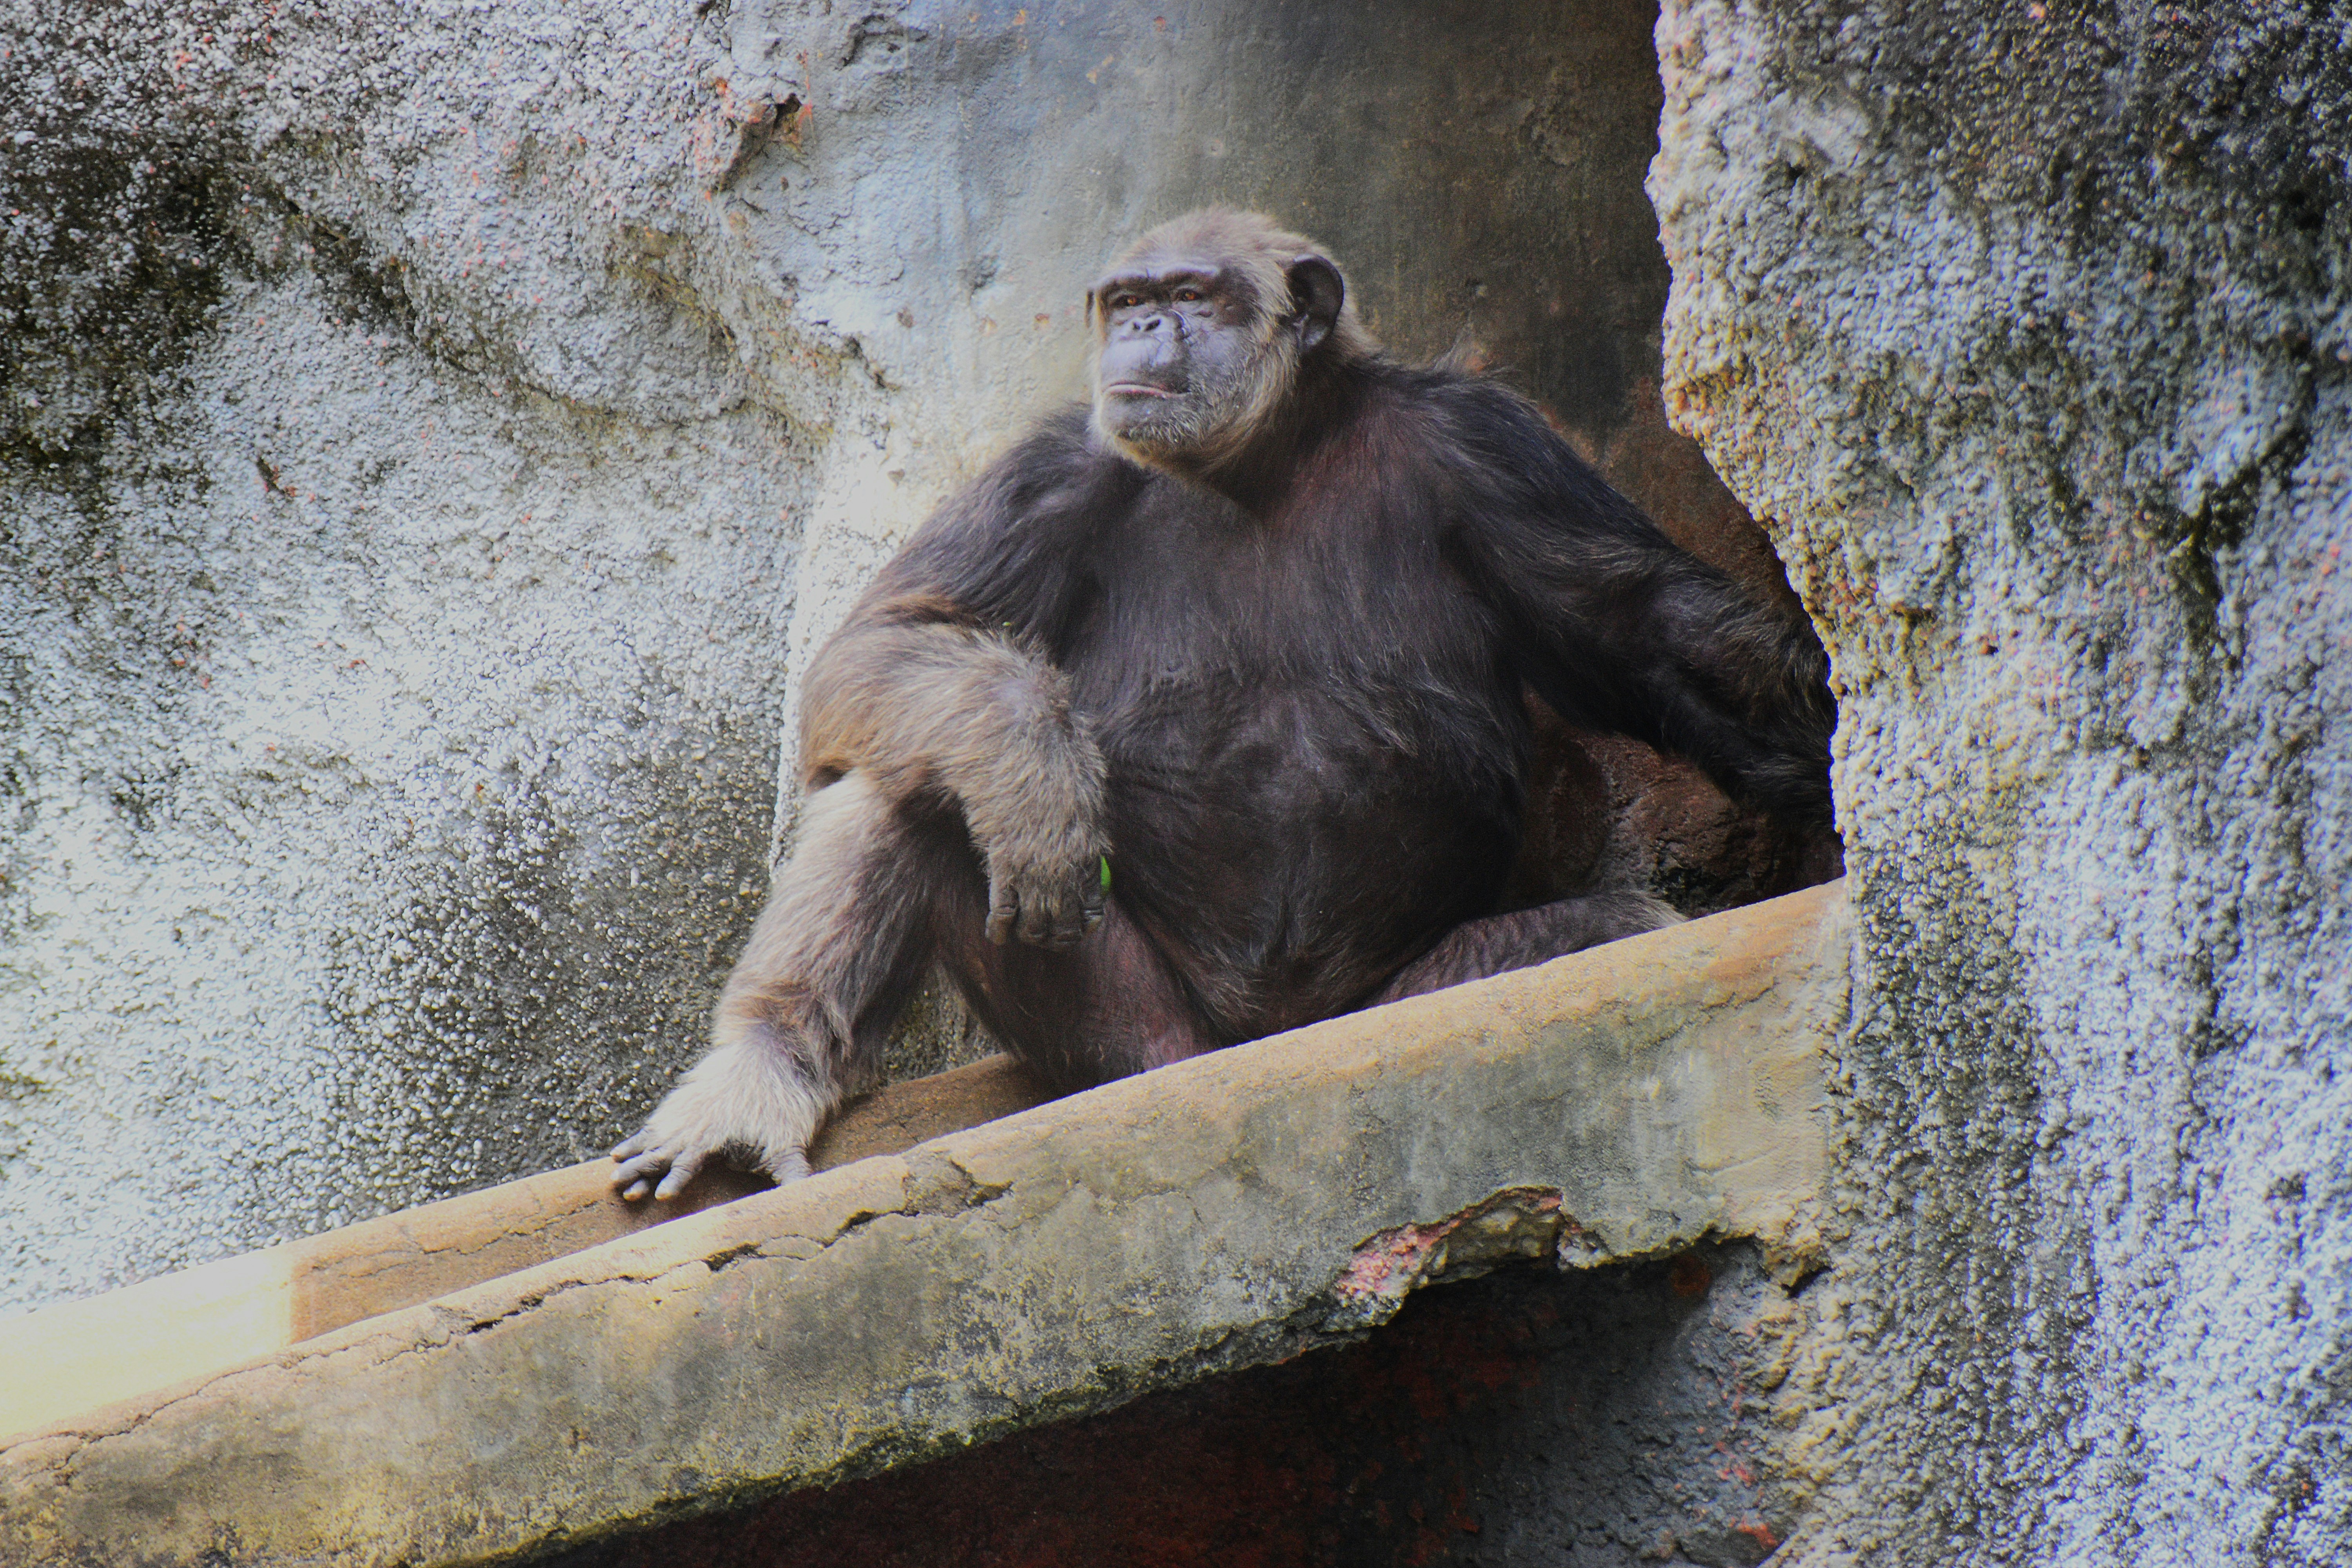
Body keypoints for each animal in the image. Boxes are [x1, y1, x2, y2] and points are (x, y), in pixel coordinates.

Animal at [612, 209, 1835, 1200]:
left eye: (1194, 295)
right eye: (1129, 300)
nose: (1147, 329)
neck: (1263, 457)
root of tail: (1252, 1048)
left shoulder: (1496, 447)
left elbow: (1641, 623)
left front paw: (1814, 734)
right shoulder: (1051, 469)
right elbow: (888, 637)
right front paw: (1033, 765)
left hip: (1389, 1005)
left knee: (1630, 925)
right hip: (1136, 1035)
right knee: (919, 777)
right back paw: (755, 1077)